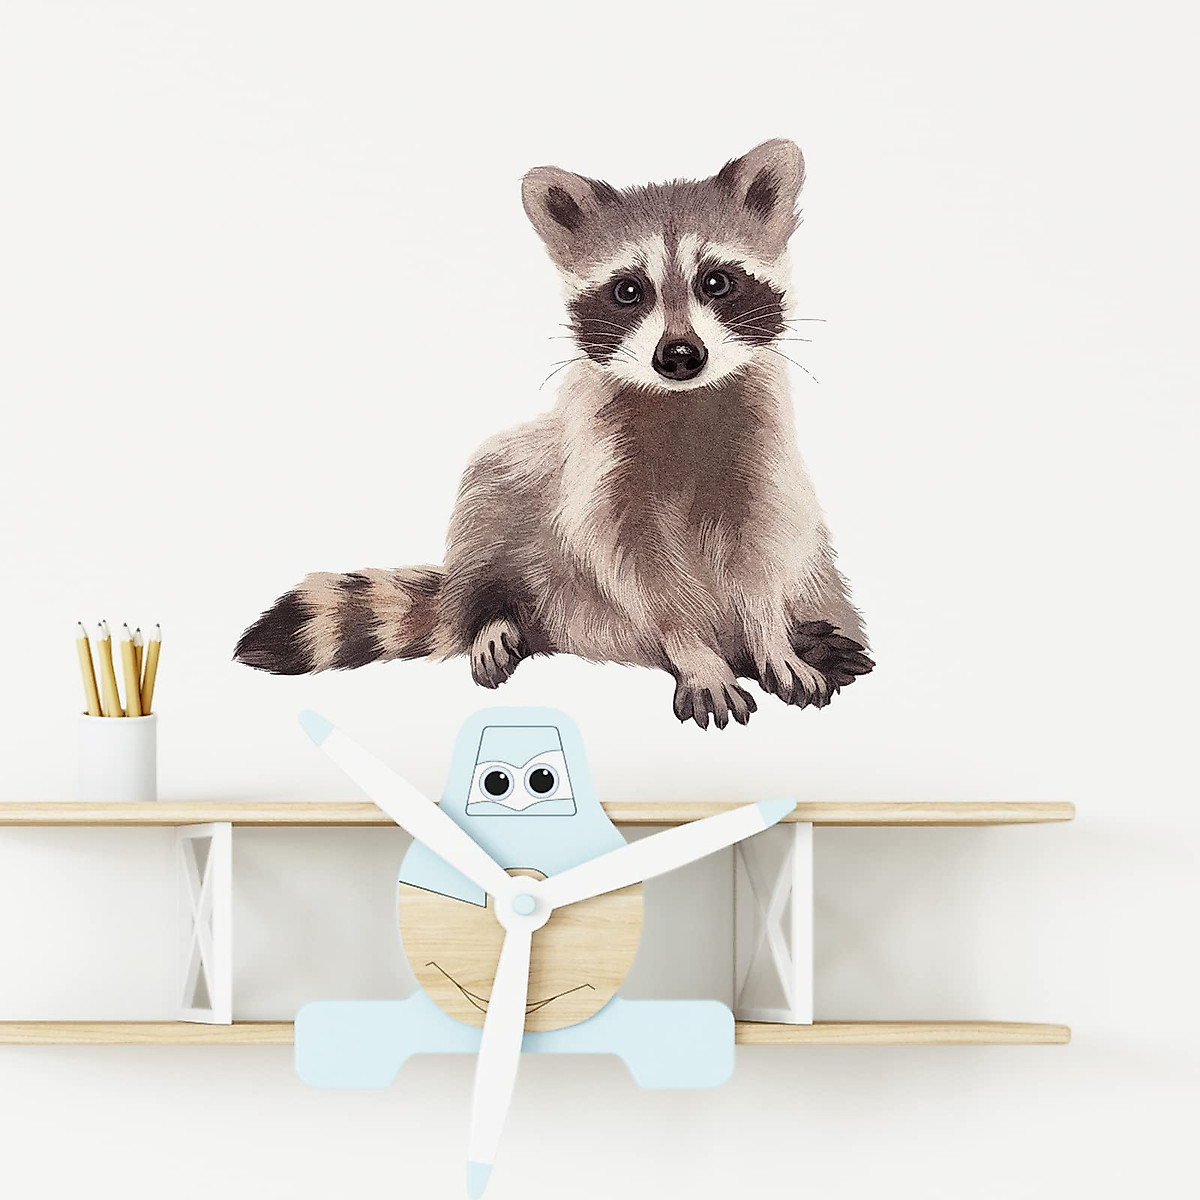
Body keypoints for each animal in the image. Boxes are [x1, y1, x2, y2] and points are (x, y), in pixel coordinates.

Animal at [235, 139, 872, 728]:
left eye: (717, 282)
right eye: (628, 290)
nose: (680, 356)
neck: (682, 400)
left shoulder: (762, 457)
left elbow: (763, 555)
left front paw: (770, 637)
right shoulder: (597, 469)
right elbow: (641, 574)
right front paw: (695, 653)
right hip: (514, 495)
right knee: (489, 494)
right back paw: (494, 617)